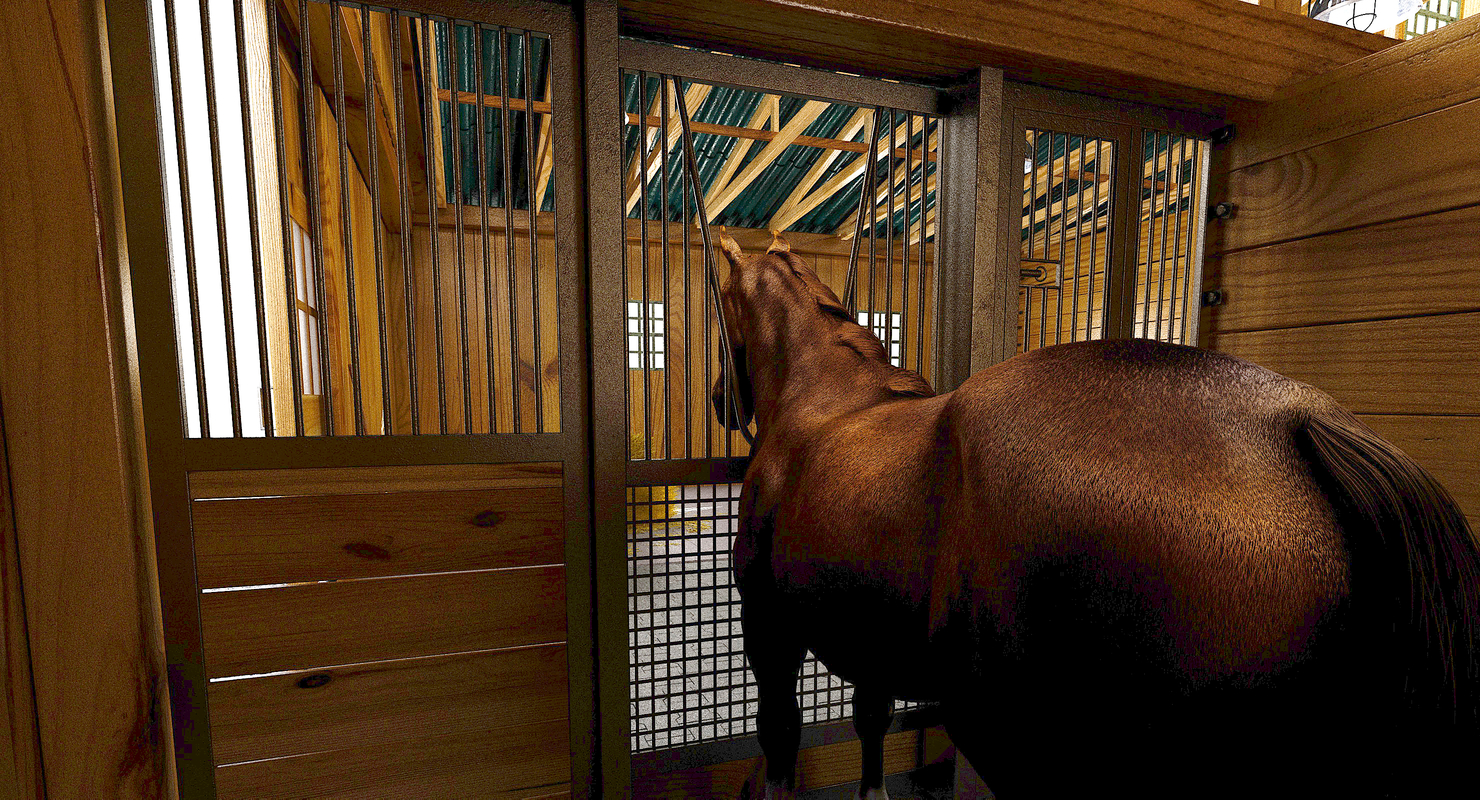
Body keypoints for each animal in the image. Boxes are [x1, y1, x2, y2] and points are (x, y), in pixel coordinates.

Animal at [712, 234, 1480, 800]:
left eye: (722, 305)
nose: (721, 398)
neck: (825, 398)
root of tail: (1294, 420)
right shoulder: (867, 633)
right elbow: (870, 727)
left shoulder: (770, 628)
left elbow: (780, 734)